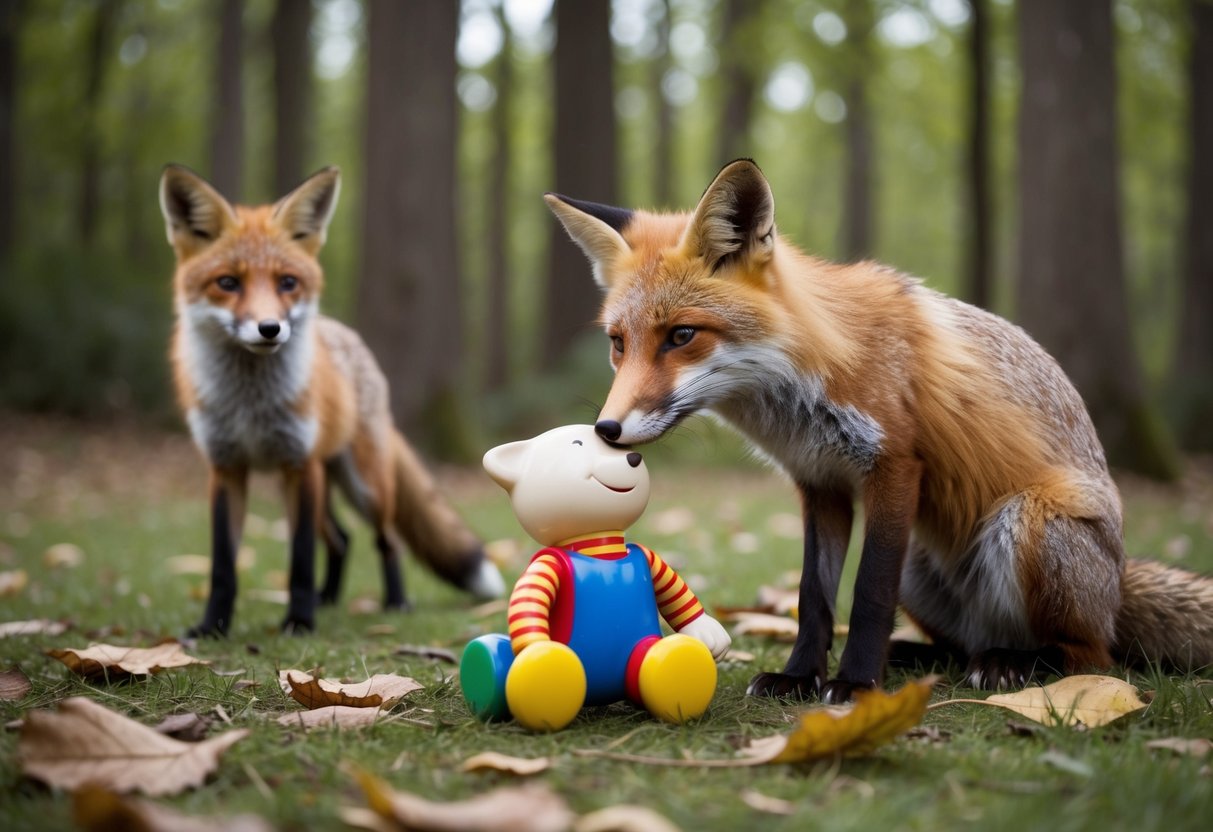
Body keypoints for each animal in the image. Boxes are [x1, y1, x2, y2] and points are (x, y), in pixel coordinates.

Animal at [159, 164, 504, 636]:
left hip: (362, 485)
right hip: (313, 484)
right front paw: (213, 626)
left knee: (386, 539)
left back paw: (394, 602)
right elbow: (223, 566)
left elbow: (301, 560)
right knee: (342, 539)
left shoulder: (300, 465)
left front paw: (299, 622)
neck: (251, 404)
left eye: (288, 283)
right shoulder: (226, 468)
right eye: (227, 283)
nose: (270, 328)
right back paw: (329, 599)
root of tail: (348, 336)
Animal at [544, 158, 1213, 703]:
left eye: (682, 335)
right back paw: (922, 655)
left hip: (1029, 522)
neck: (804, 379)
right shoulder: (819, 482)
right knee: (957, 645)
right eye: (618, 343)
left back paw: (1011, 662)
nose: (607, 429)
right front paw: (799, 676)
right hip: (925, 567)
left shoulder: (894, 466)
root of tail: (1119, 583)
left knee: (1089, 655)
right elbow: (813, 597)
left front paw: (857, 683)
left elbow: (867, 594)